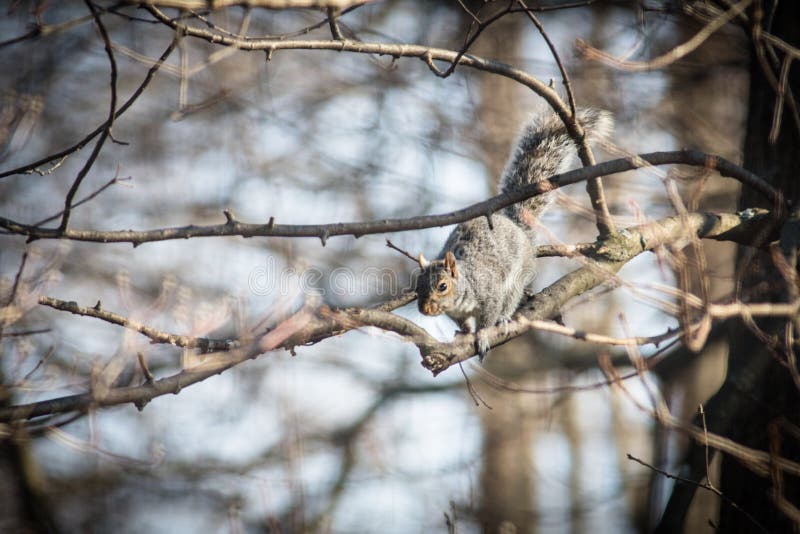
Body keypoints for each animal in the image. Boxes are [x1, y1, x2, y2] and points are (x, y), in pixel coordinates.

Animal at [415, 108, 613, 360]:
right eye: (416, 286)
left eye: (442, 286)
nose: (424, 309)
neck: (463, 289)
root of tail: (515, 225)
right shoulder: (456, 313)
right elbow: (463, 322)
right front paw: (465, 332)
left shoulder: (490, 294)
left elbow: (488, 318)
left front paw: (482, 335)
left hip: (517, 278)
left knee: (511, 299)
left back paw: (504, 318)